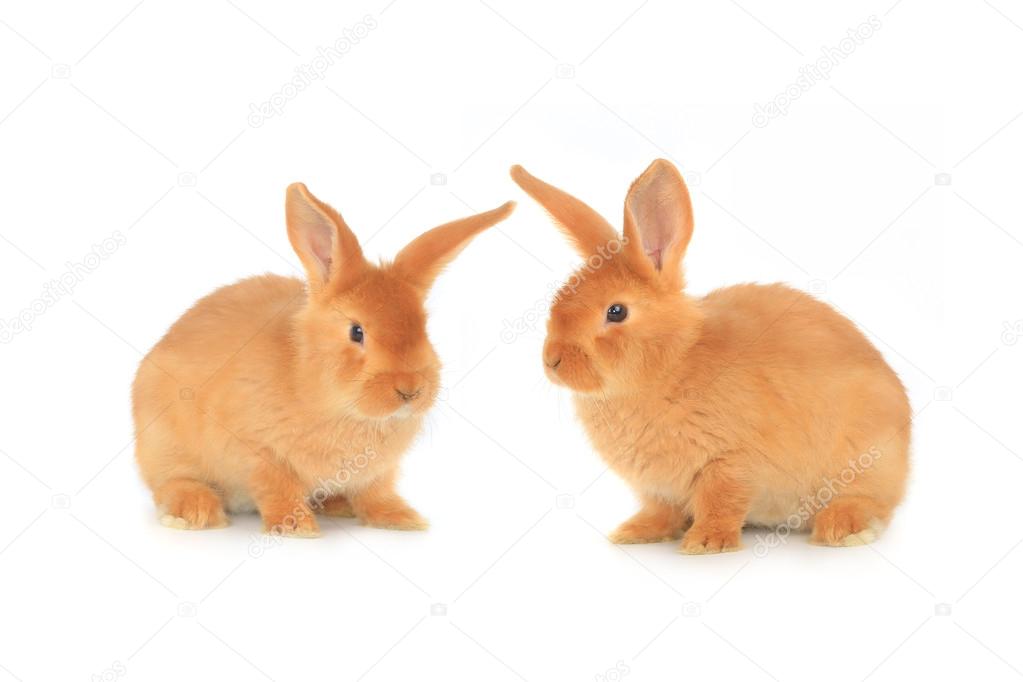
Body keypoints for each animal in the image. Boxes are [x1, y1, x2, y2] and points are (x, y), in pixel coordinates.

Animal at [133, 182, 514, 536]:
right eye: (357, 332)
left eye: (424, 327)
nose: (410, 390)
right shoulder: (257, 452)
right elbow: (277, 487)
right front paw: (297, 527)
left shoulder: (378, 471)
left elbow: (375, 492)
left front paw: (401, 519)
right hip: (166, 446)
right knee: (173, 482)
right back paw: (194, 512)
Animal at [510, 159, 910, 553]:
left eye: (616, 312)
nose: (552, 362)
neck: (671, 362)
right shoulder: (657, 487)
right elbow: (662, 509)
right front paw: (637, 532)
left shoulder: (730, 461)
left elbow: (722, 501)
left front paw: (706, 542)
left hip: (863, 462)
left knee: (870, 501)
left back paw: (843, 529)